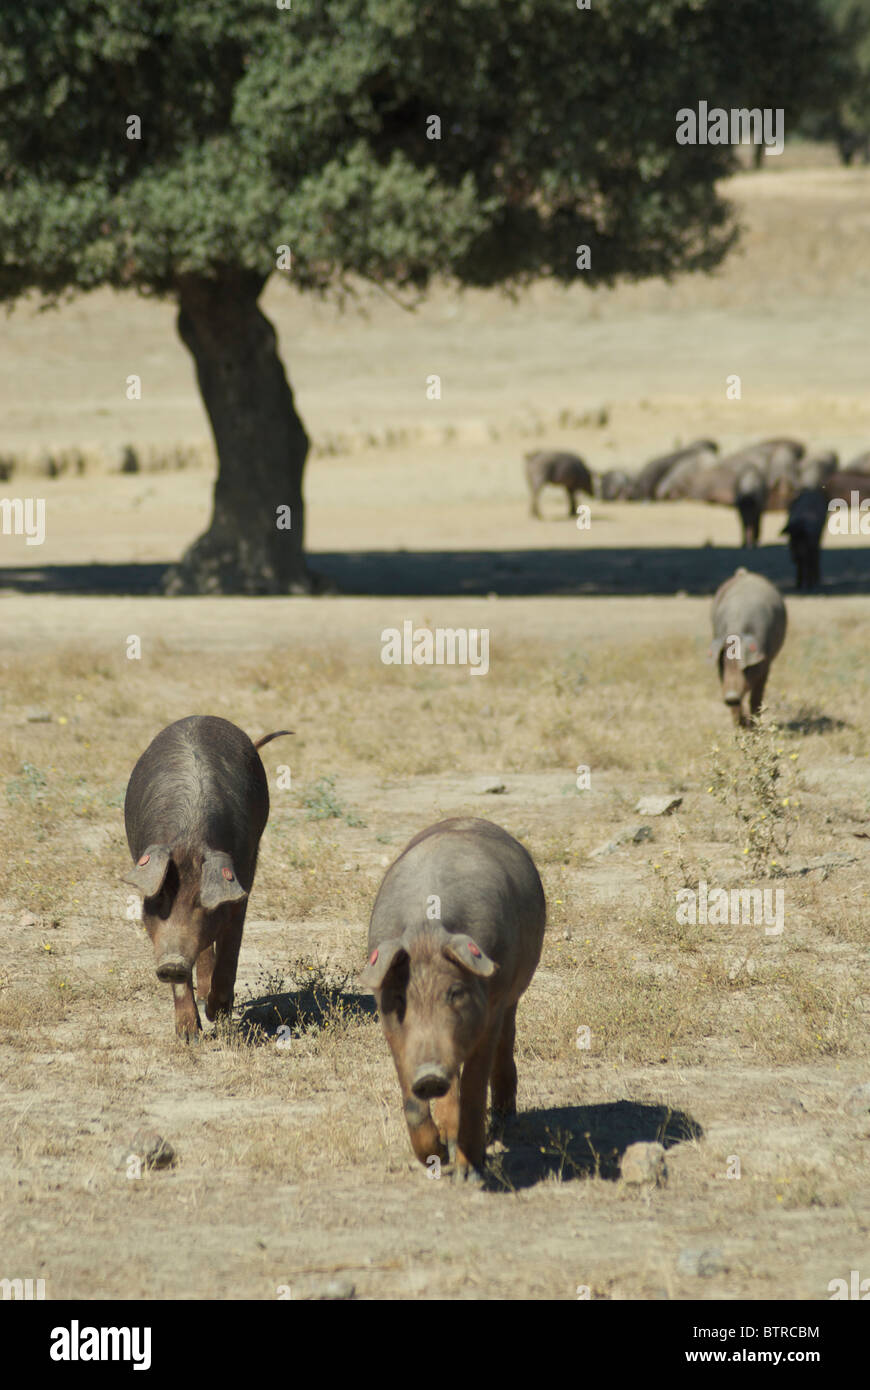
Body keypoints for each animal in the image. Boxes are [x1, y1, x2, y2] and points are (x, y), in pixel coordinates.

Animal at [122, 715, 290, 1040]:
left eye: (202, 903)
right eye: (159, 899)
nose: (172, 963)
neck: (190, 839)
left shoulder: (240, 885)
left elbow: (231, 950)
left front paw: (218, 1015)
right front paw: (188, 1036)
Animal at [360, 817, 546, 1182]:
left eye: (455, 992)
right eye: (399, 999)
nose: (429, 1075)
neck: (425, 933)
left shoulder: (490, 1009)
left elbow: (474, 1089)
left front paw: (468, 1173)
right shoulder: (391, 1027)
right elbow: (412, 1099)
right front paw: (436, 1156)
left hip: (511, 995)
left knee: (505, 1043)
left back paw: (503, 1121)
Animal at [711, 569, 787, 726]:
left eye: (746, 668)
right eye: (722, 665)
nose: (731, 697)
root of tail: (743, 572)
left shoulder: (766, 661)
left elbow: (756, 696)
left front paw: (754, 725)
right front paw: (742, 727)